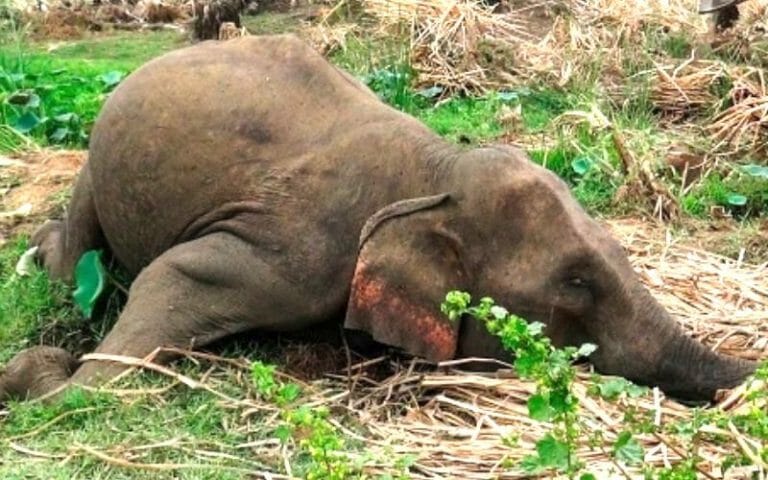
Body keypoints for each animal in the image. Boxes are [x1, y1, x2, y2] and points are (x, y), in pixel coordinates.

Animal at [0, 35, 754, 402]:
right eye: (575, 287)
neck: (437, 172)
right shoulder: (305, 251)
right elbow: (176, 274)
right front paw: (45, 382)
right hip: (99, 157)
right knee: (81, 248)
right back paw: (36, 255)